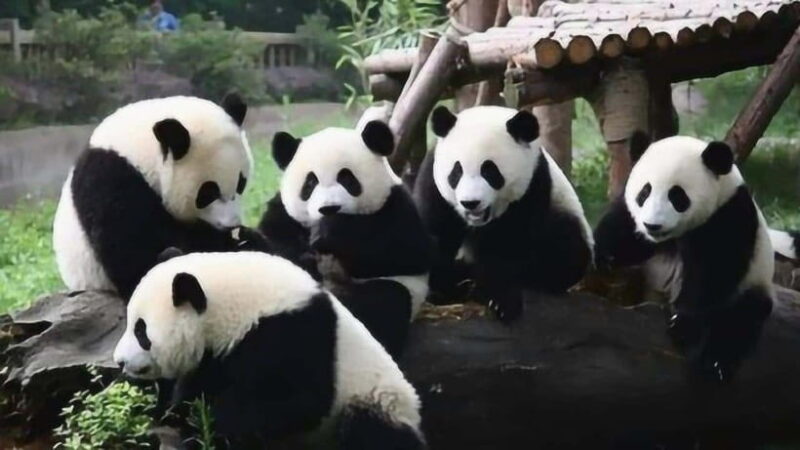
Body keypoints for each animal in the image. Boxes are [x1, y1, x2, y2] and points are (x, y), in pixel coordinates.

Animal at [53, 94, 266, 300]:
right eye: (208, 193)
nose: (232, 224)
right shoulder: (110, 181)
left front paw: (245, 239)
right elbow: (131, 252)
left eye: (241, 184)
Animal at [113, 250, 425, 449]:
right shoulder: (217, 355)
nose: (119, 361)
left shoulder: (291, 333)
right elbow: (197, 388)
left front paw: (207, 425)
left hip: (379, 402)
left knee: (369, 430)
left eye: (141, 331)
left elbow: (300, 400)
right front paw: (176, 418)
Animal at [257, 120, 432, 357]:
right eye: (310, 183)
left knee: (385, 302)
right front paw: (307, 258)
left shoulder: (396, 204)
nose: (328, 208)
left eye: (347, 178)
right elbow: (272, 241)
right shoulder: (284, 213)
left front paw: (330, 232)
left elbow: (409, 252)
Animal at [413, 105, 593, 322]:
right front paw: (441, 289)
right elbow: (435, 233)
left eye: (490, 171)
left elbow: (508, 244)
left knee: (565, 251)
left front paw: (499, 300)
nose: (470, 203)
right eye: (456, 172)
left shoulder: (532, 185)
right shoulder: (433, 183)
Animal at [593, 132, 774, 383]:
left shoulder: (728, 215)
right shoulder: (633, 217)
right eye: (644, 193)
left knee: (740, 320)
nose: (652, 225)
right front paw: (604, 257)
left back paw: (716, 364)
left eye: (677, 196)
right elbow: (624, 231)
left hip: (754, 282)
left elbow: (714, 273)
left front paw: (684, 323)